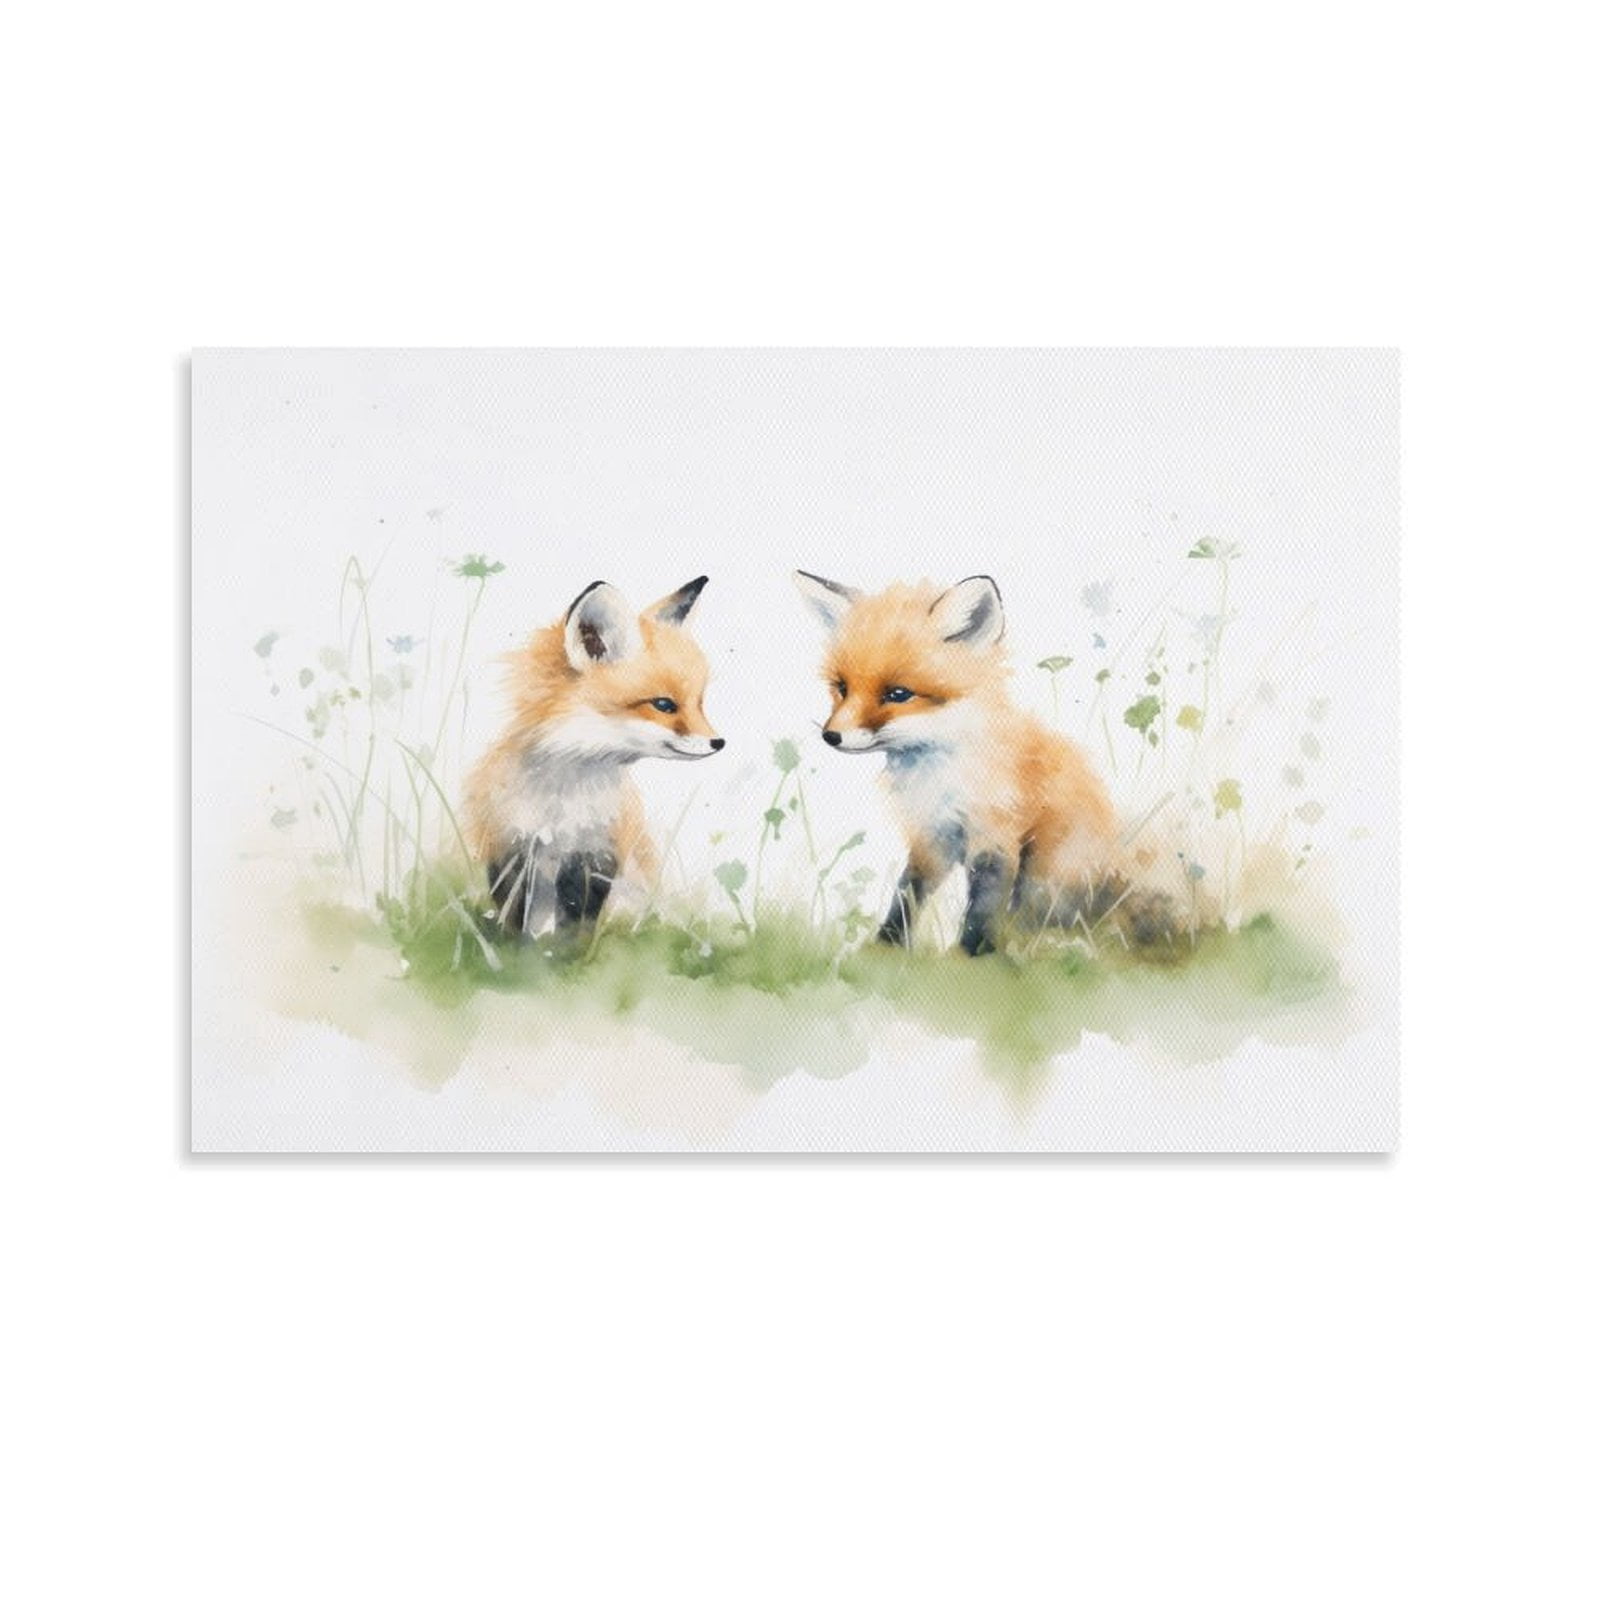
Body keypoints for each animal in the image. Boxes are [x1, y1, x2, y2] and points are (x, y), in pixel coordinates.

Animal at [463, 576, 723, 937]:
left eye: (699, 703)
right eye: (664, 705)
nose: (719, 742)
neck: (562, 801)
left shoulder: (597, 854)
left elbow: (578, 922)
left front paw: (564, 949)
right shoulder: (507, 846)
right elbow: (516, 920)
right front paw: (521, 950)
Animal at [794, 570, 1154, 956]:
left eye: (898, 694)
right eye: (842, 688)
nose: (831, 736)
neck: (939, 775)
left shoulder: (995, 832)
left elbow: (984, 902)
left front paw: (972, 955)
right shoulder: (931, 834)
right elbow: (908, 892)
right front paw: (887, 945)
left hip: (1049, 871)